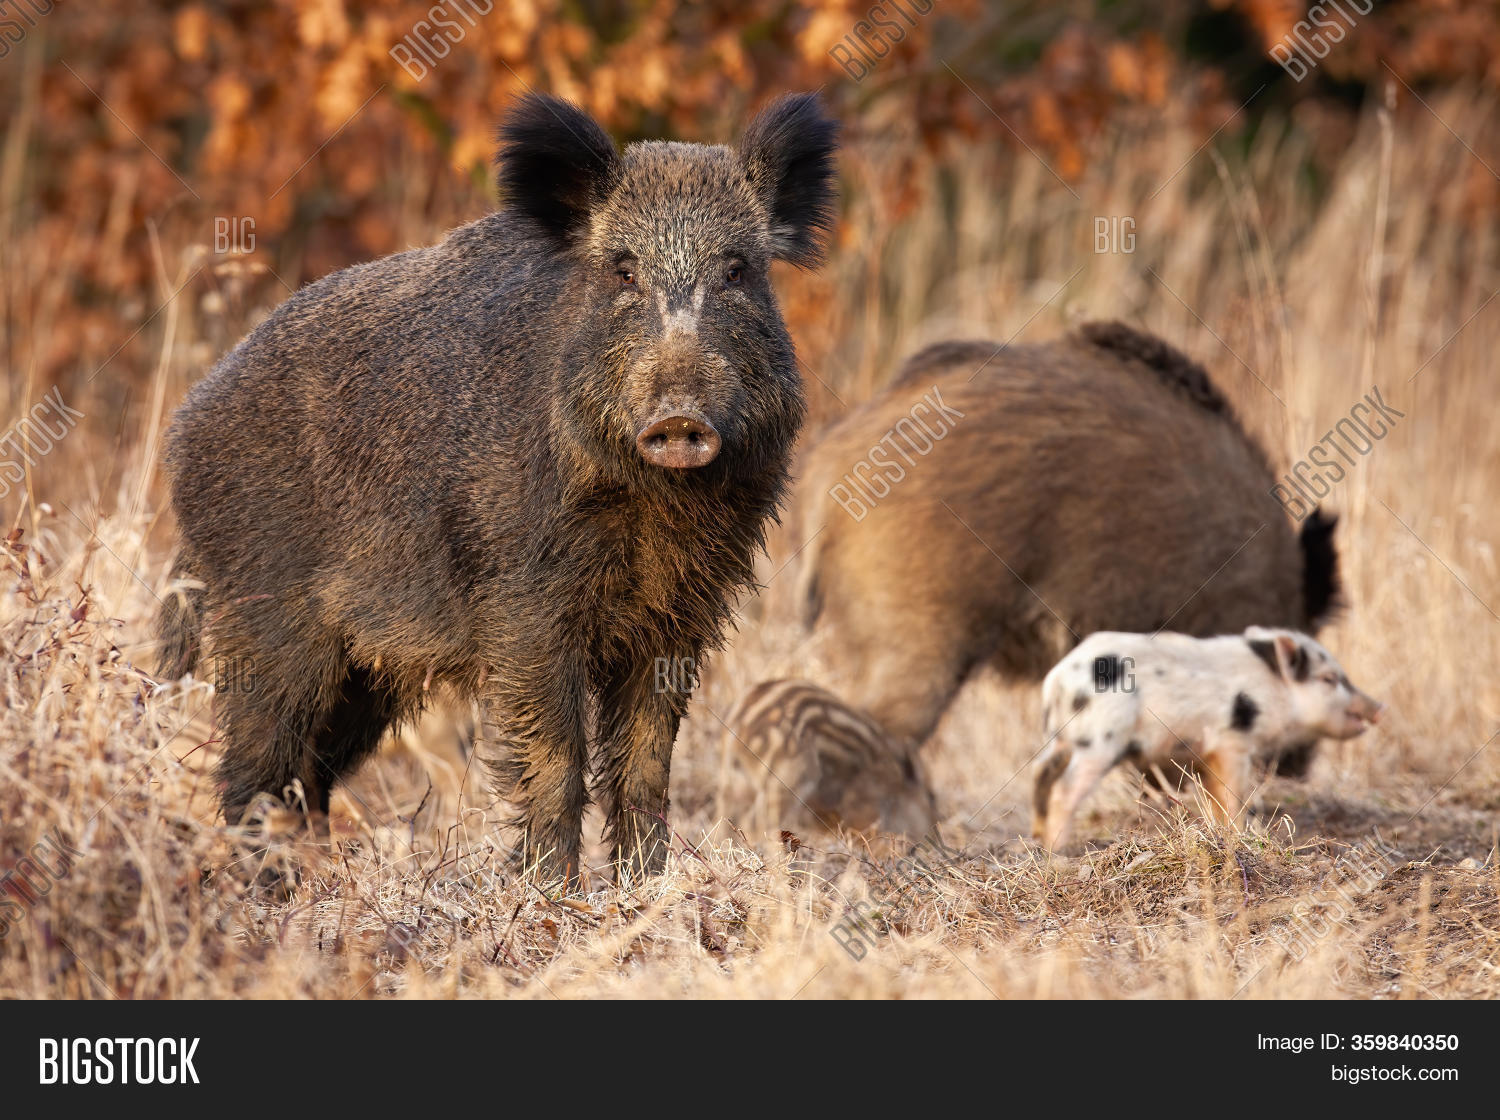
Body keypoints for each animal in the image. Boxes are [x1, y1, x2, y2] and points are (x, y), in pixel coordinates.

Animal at [155, 92, 839, 887]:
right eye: (623, 271)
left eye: (736, 269)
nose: (679, 419)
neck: (653, 509)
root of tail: (186, 428)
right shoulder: (523, 601)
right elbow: (556, 755)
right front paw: (554, 893)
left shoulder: (684, 612)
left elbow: (646, 763)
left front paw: (644, 886)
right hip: (266, 617)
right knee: (255, 765)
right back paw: (264, 886)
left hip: (366, 673)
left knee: (309, 774)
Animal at [725, 679, 938, 839]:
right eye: (931, 796)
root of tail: (738, 723)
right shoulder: (863, 800)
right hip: (787, 781)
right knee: (755, 824)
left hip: (734, 784)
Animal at [1031, 627, 1383, 850]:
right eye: (1329, 679)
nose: (1379, 706)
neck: (1272, 691)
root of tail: (1056, 682)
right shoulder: (1232, 742)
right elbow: (1232, 796)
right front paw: (1238, 834)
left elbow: (1215, 799)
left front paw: (1222, 833)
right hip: (1100, 740)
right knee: (1064, 789)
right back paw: (1058, 851)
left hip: (1059, 741)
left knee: (1040, 778)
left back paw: (1039, 840)